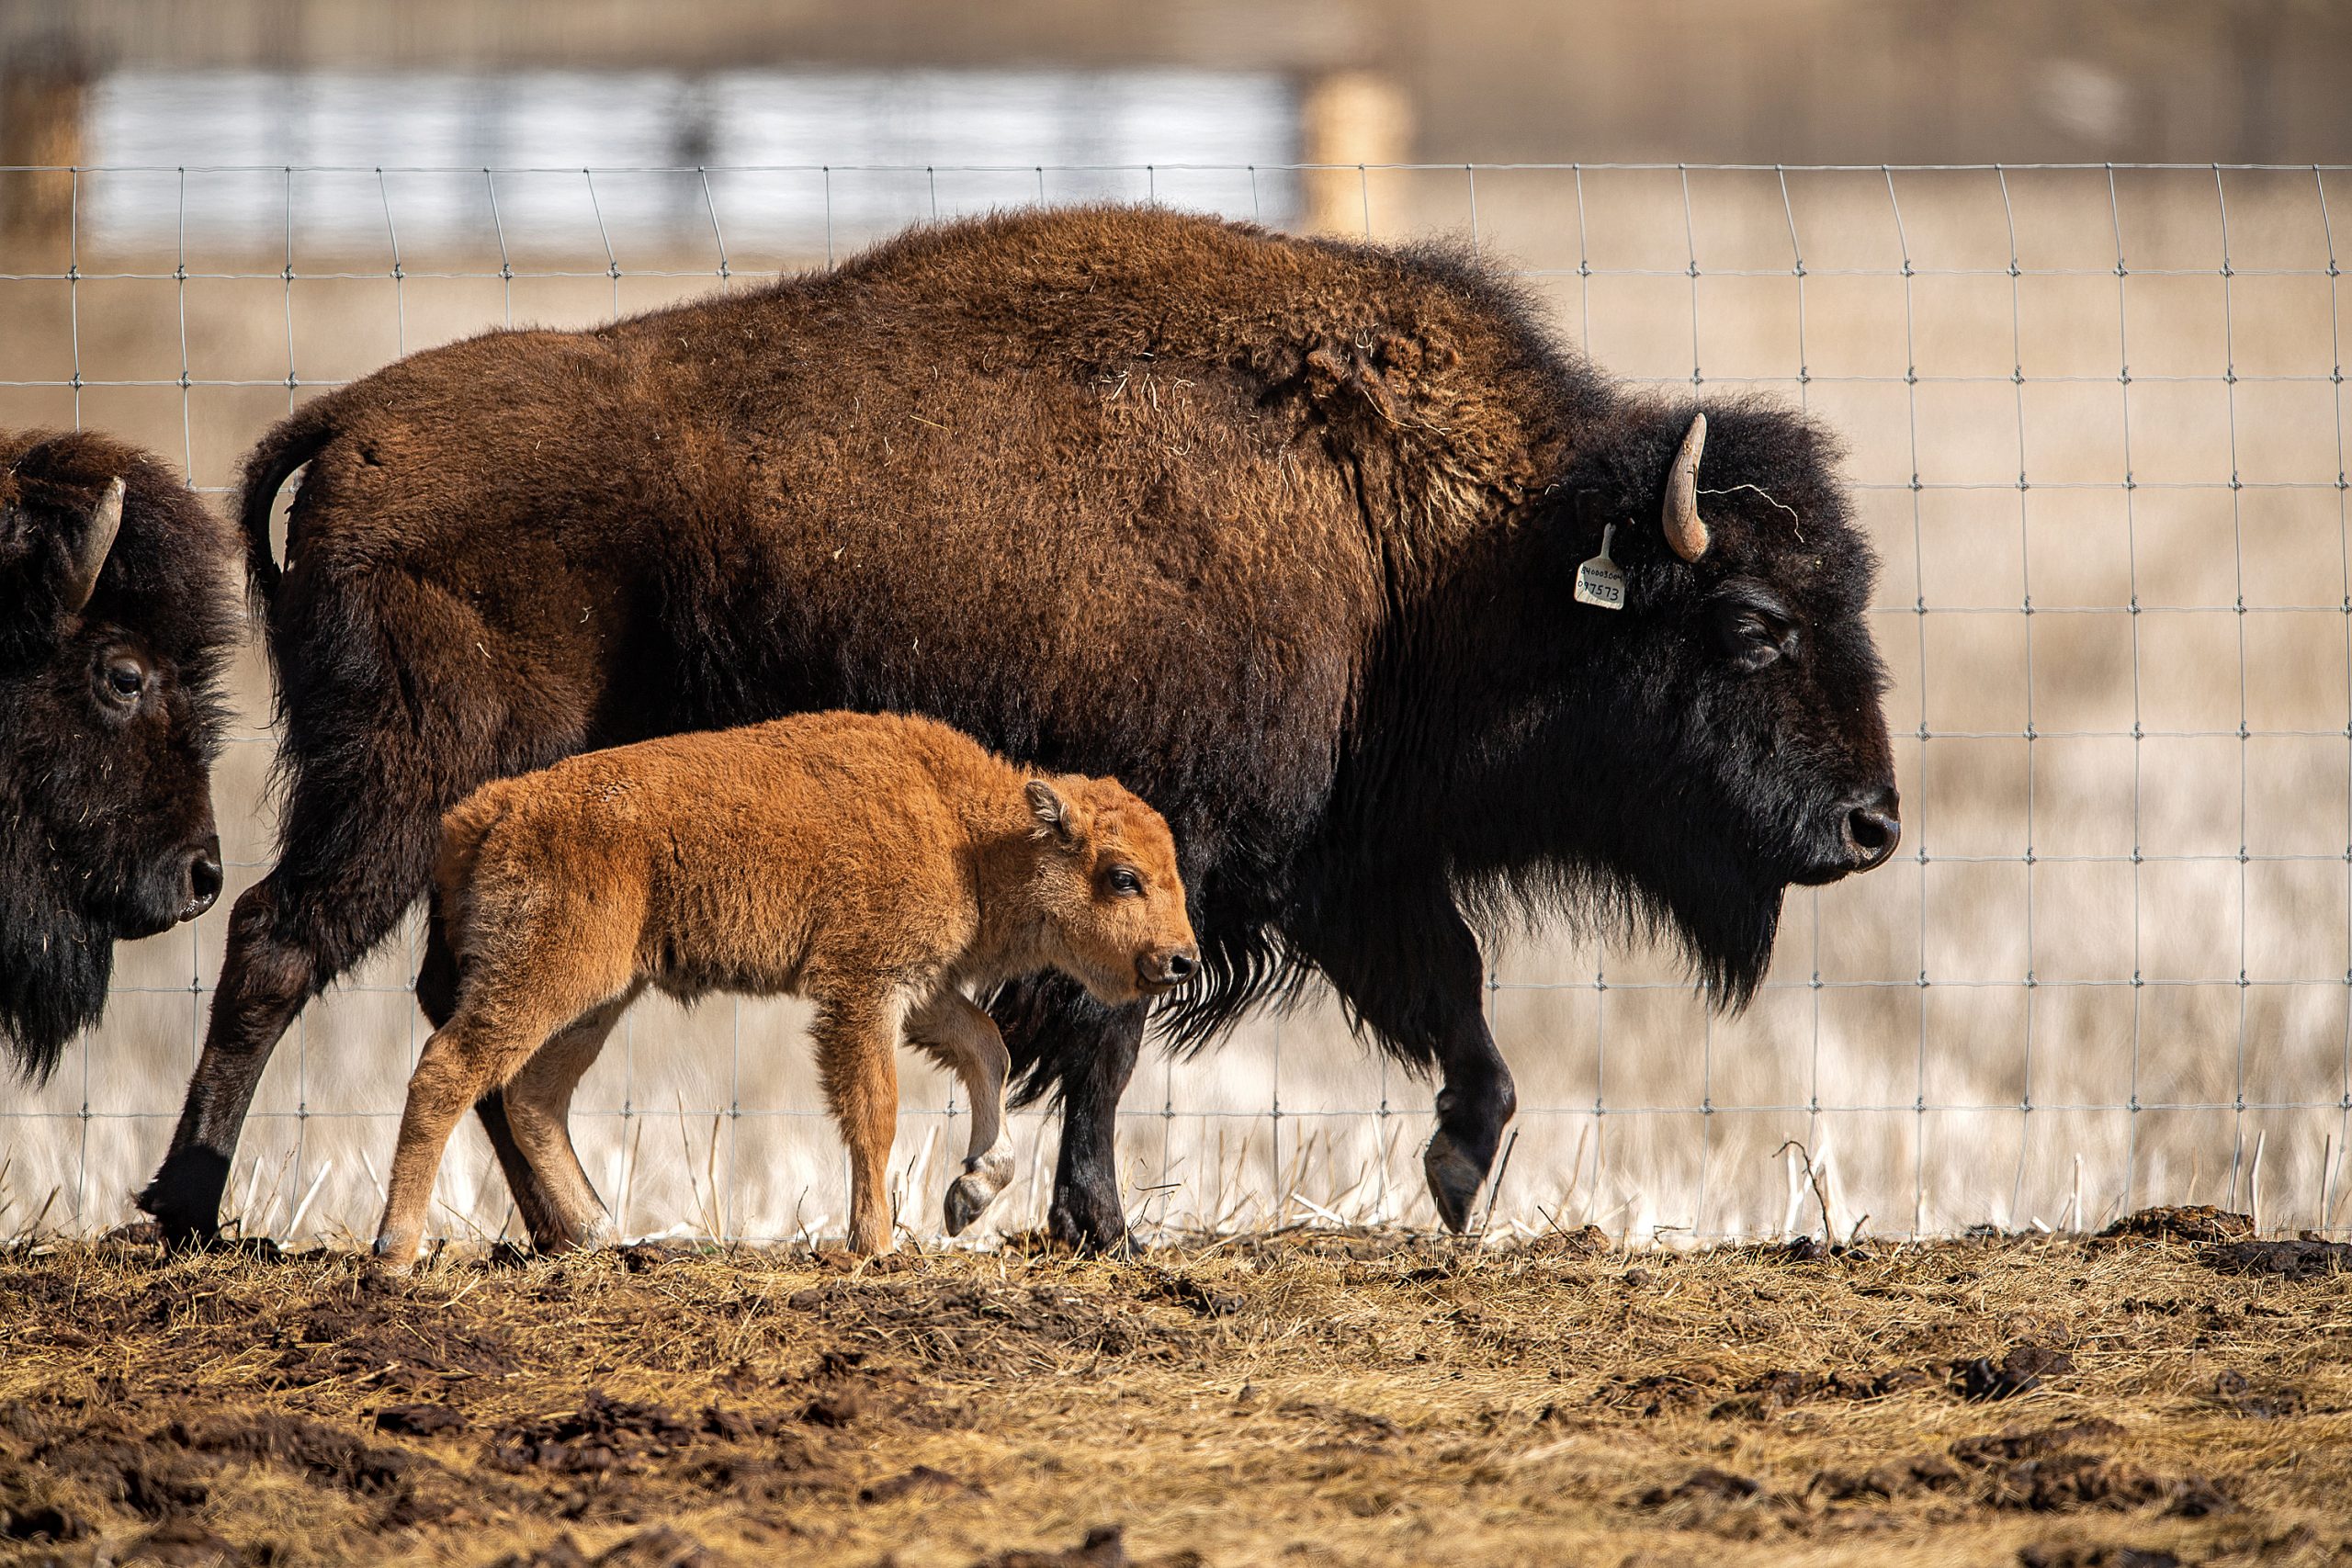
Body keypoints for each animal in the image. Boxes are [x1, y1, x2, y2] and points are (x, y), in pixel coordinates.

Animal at [137, 205, 1898, 1250]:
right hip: (410, 784)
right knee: (287, 941)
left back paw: (583, 1233)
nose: (1871, 824)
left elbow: (1454, 1006)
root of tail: (344, 425)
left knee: (464, 1005)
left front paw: (1459, 1179)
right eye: (1751, 627)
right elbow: (1109, 1034)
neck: (1428, 535)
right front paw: (1092, 1221)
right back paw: (190, 1208)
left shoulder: (1341, 863)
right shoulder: (1175, 849)